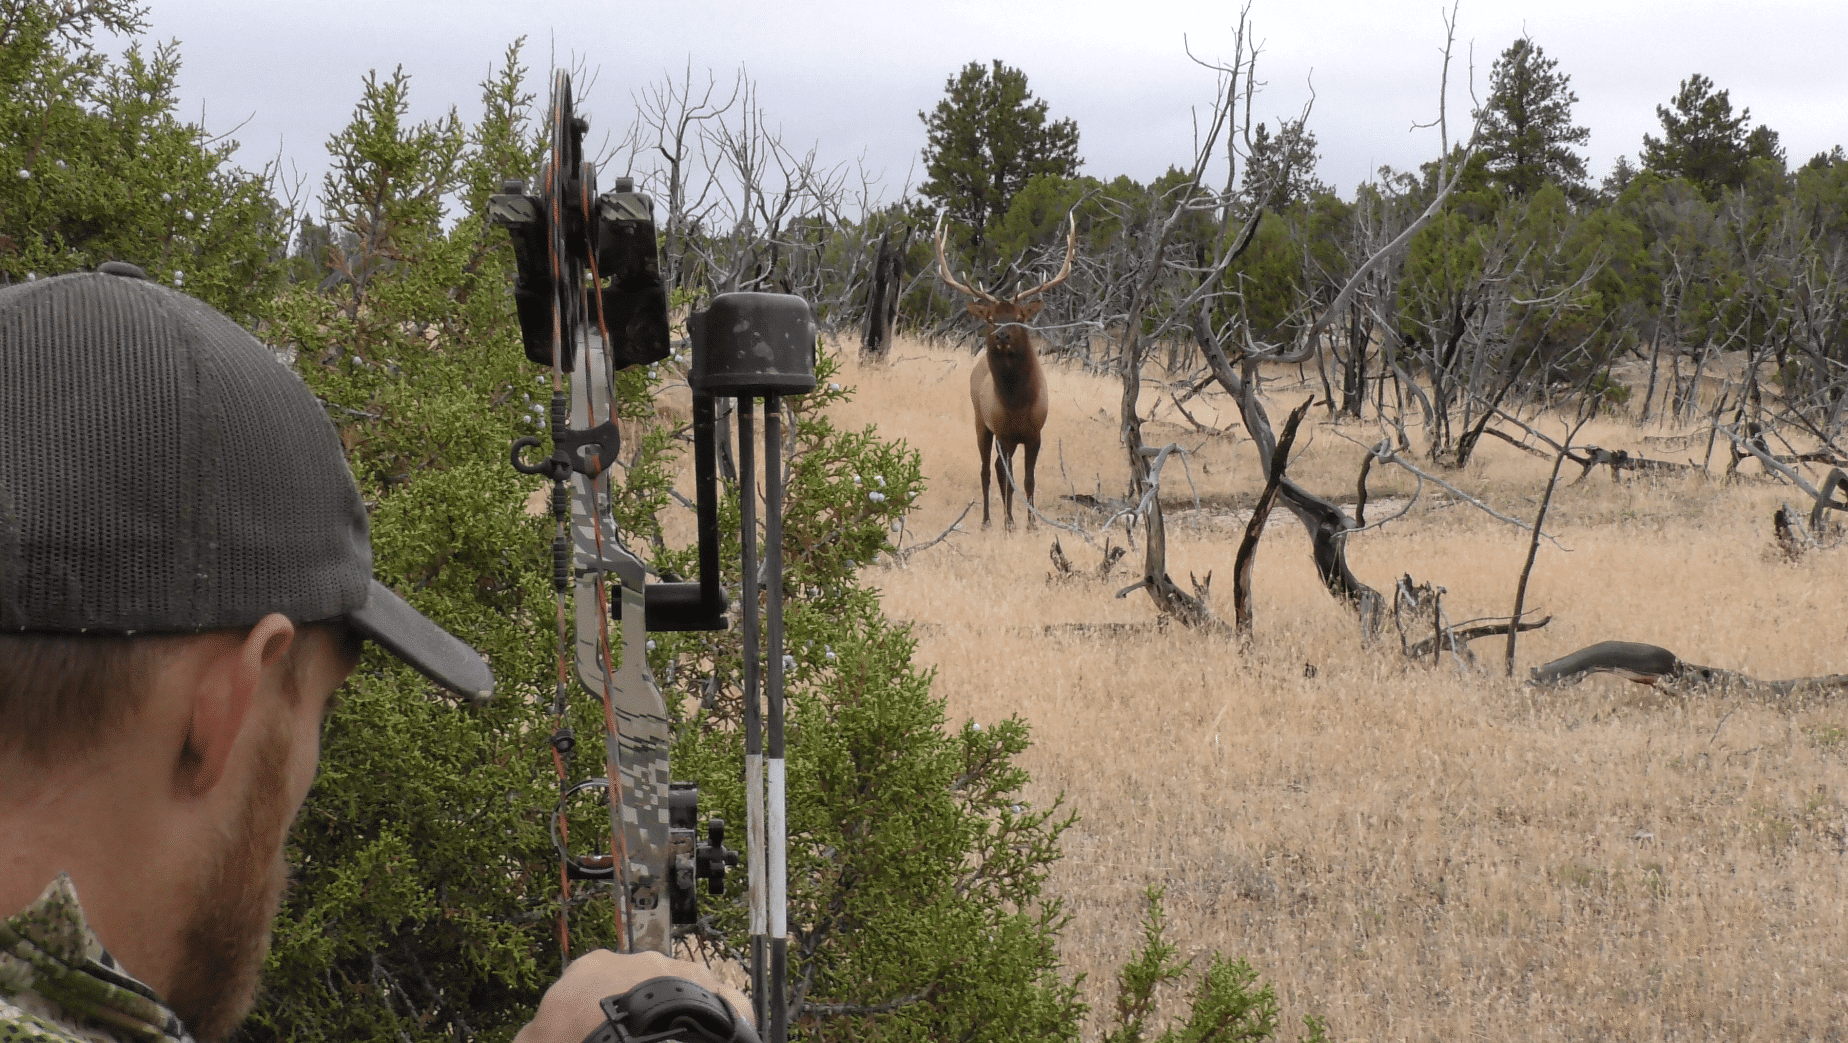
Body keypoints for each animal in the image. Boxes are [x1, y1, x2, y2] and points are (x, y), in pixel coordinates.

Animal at [935, 213, 1075, 531]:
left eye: (1020, 317)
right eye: (990, 318)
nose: (1002, 335)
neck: (1018, 404)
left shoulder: (1035, 434)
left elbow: (1029, 480)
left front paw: (1032, 523)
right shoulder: (1004, 434)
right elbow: (1007, 479)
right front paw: (1010, 521)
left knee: (999, 471)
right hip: (981, 422)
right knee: (988, 470)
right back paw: (989, 520)